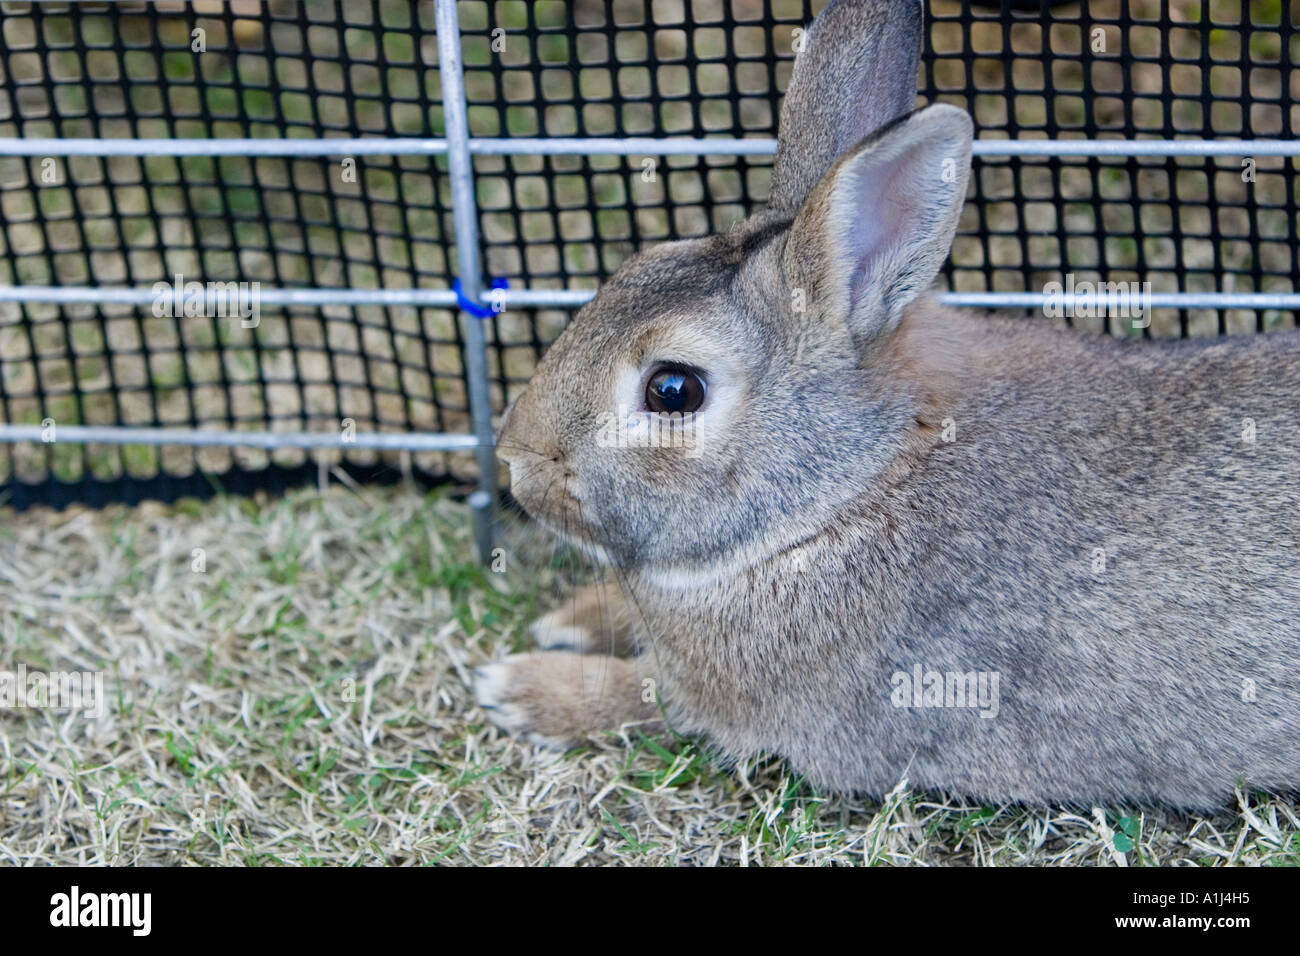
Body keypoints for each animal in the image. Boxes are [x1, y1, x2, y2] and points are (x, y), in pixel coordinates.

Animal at [475, 0, 1300, 808]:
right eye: (636, 265)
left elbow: (648, 702)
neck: (858, 486)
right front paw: (569, 620)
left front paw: (517, 688)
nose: (516, 461)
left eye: (673, 389)